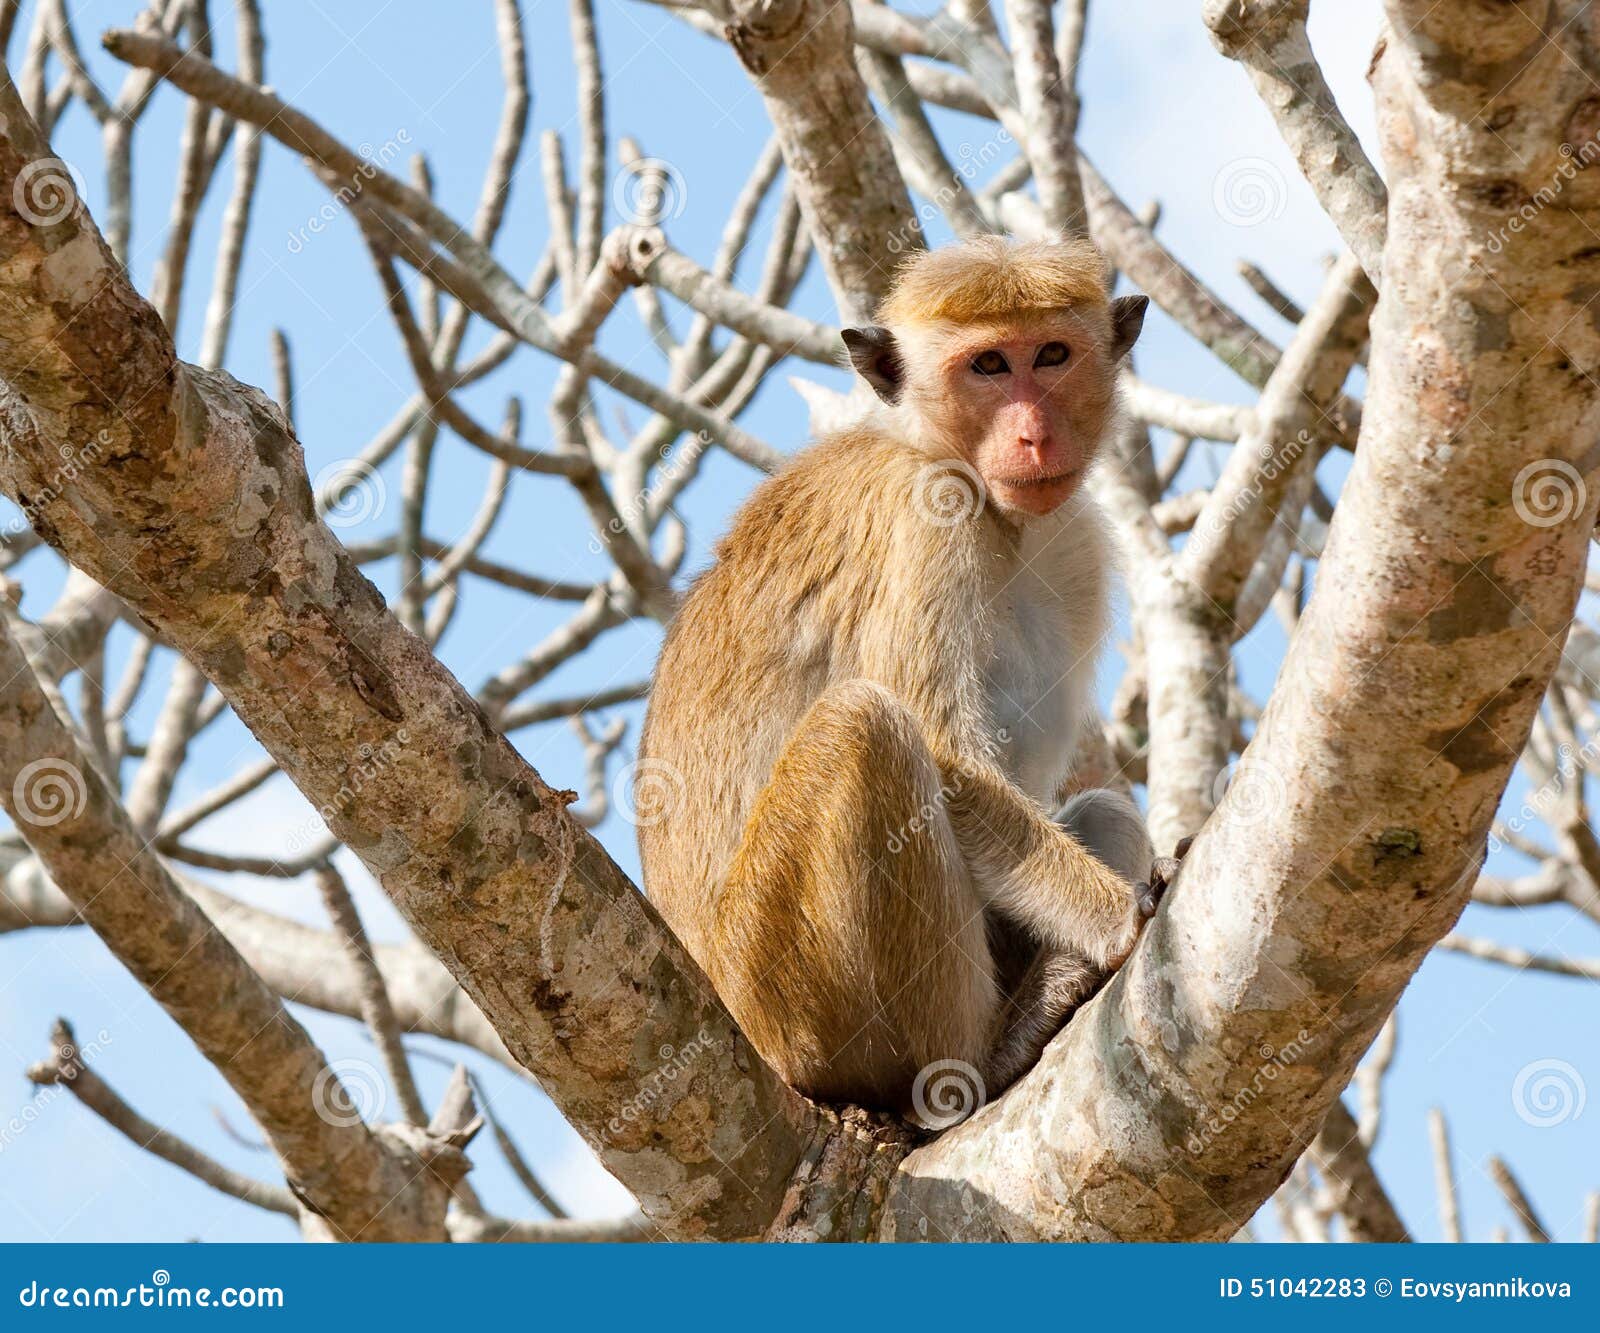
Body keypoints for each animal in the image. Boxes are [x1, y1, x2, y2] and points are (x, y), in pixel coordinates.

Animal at [638, 234, 1167, 1122]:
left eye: (1051, 355)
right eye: (987, 365)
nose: (1034, 436)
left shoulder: (1075, 552)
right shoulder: (926, 513)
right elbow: (949, 762)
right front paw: (1119, 919)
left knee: (1102, 810)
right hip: (790, 993)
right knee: (867, 730)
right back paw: (981, 1056)